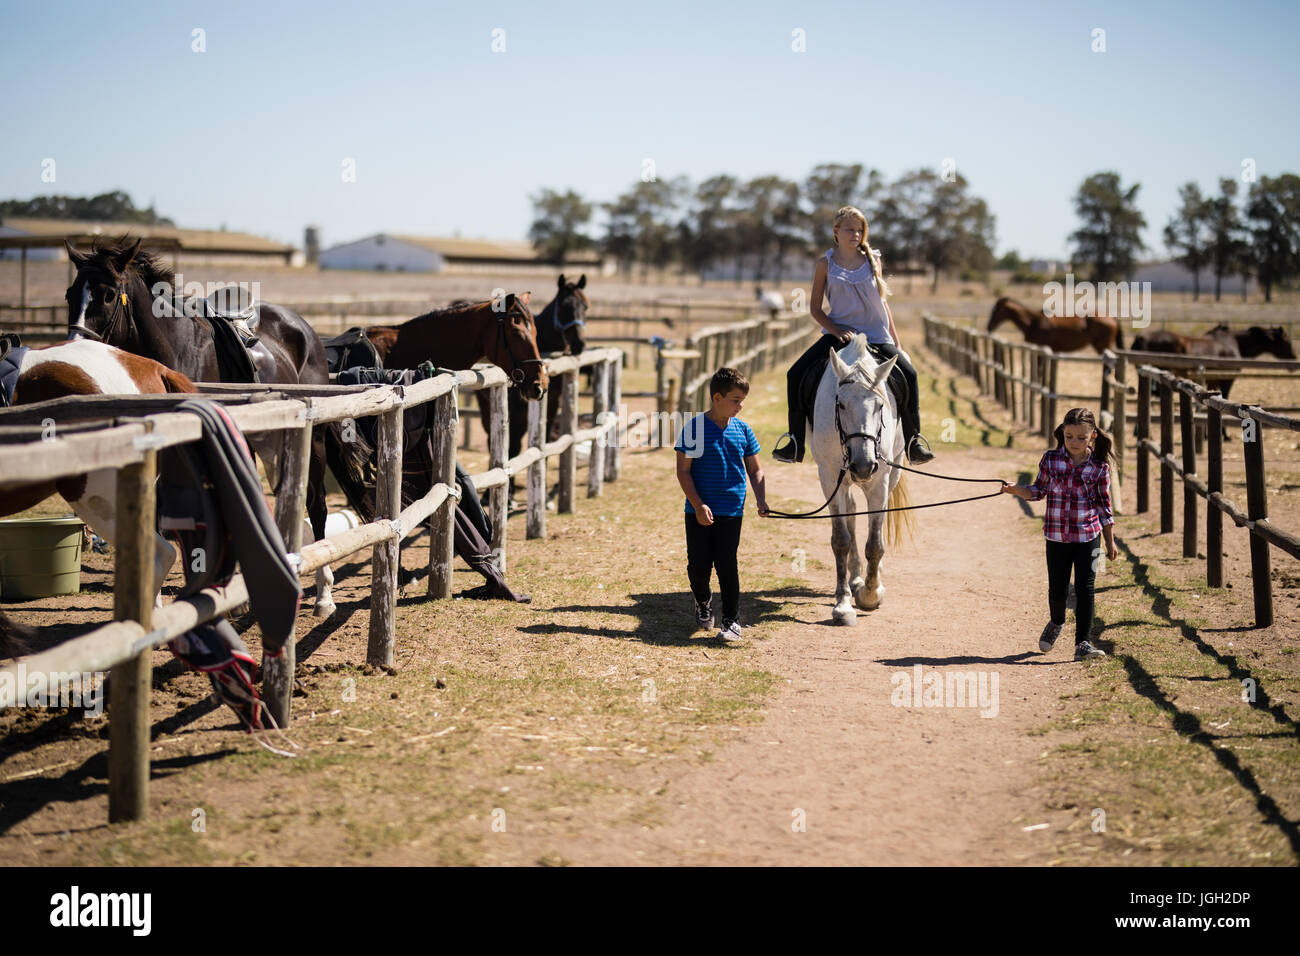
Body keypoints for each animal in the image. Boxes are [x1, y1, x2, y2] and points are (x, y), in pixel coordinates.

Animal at [62, 237, 339, 617]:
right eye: (70, 294)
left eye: (107, 294)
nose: (76, 350)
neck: (174, 352)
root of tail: (305, 331)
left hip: (316, 441)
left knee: (316, 504)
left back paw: (323, 594)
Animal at [809, 334, 913, 625]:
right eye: (841, 404)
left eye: (880, 405)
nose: (863, 465)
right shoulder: (830, 477)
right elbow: (841, 540)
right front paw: (843, 604)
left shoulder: (880, 481)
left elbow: (875, 544)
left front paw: (871, 593)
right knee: (852, 515)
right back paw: (855, 578)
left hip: (892, 471)